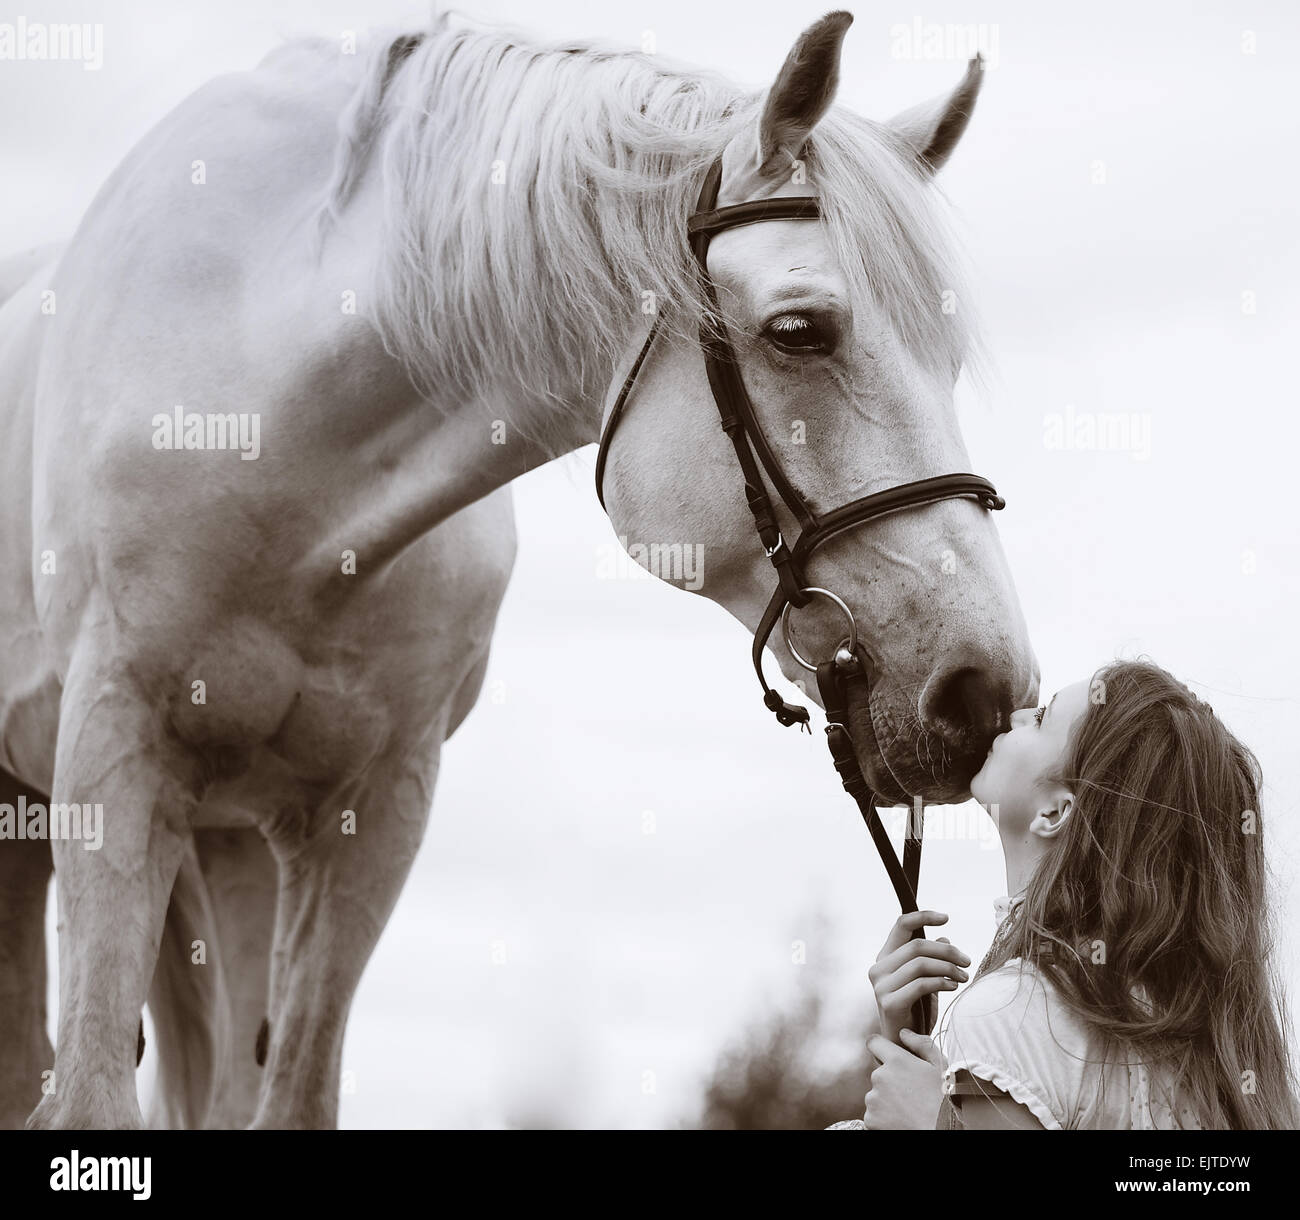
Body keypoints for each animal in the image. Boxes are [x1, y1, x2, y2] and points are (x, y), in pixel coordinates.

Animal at [0, 8, 1036, 1129]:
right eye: (801, 330)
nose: (985, 692)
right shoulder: (115, 758)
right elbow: (88, 1093)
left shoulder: (374, 808)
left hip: (220, 845)